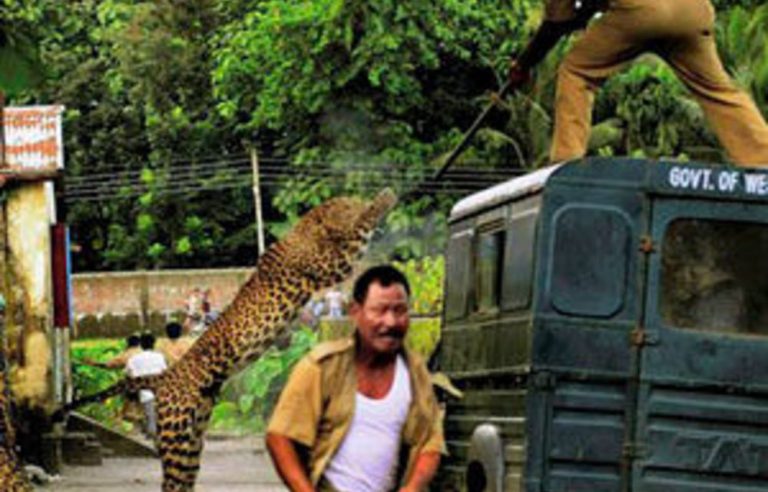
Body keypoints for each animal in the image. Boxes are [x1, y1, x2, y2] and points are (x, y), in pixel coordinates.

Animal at [57, 189, 397, 491]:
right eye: (348, 205)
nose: (358, 200)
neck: (308, 231)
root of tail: (165, 376)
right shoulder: (331, 264)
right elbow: (361, 229)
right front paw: (384, 197)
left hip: (192, 436)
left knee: (181, 479)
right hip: (177, 432)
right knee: (171, 481)